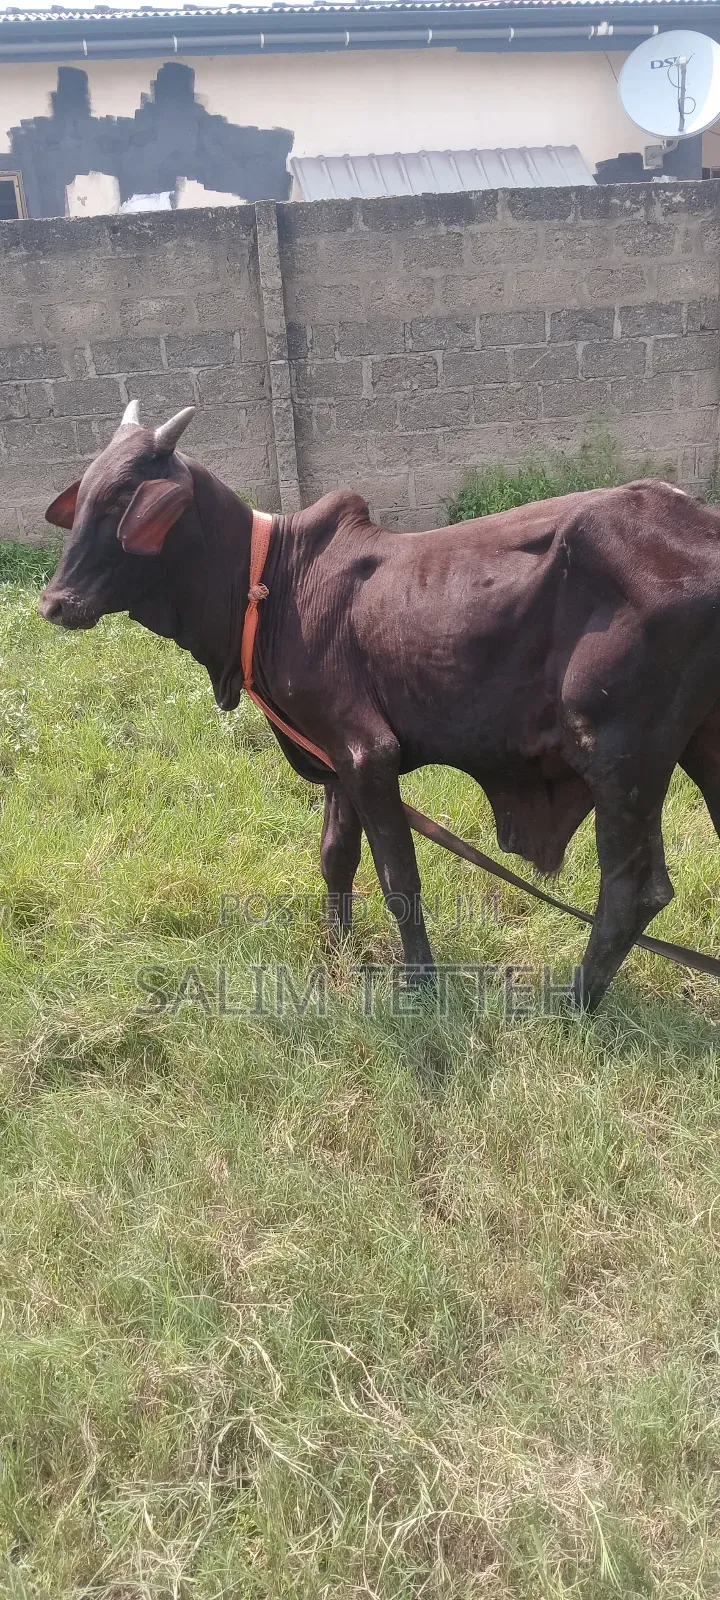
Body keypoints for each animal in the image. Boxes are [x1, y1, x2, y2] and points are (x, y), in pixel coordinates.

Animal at [38, 401, 720, 1012]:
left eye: (121, 502)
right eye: (86, 498)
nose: (55, 602)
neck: (271, 584)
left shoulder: (369, 753)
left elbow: (399, 878)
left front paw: (419, 986)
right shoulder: (332, 755)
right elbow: (336, 859)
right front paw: (336, 950)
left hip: (619, 758)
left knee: (633, 890)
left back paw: (571, 1006)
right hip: (696, 751)